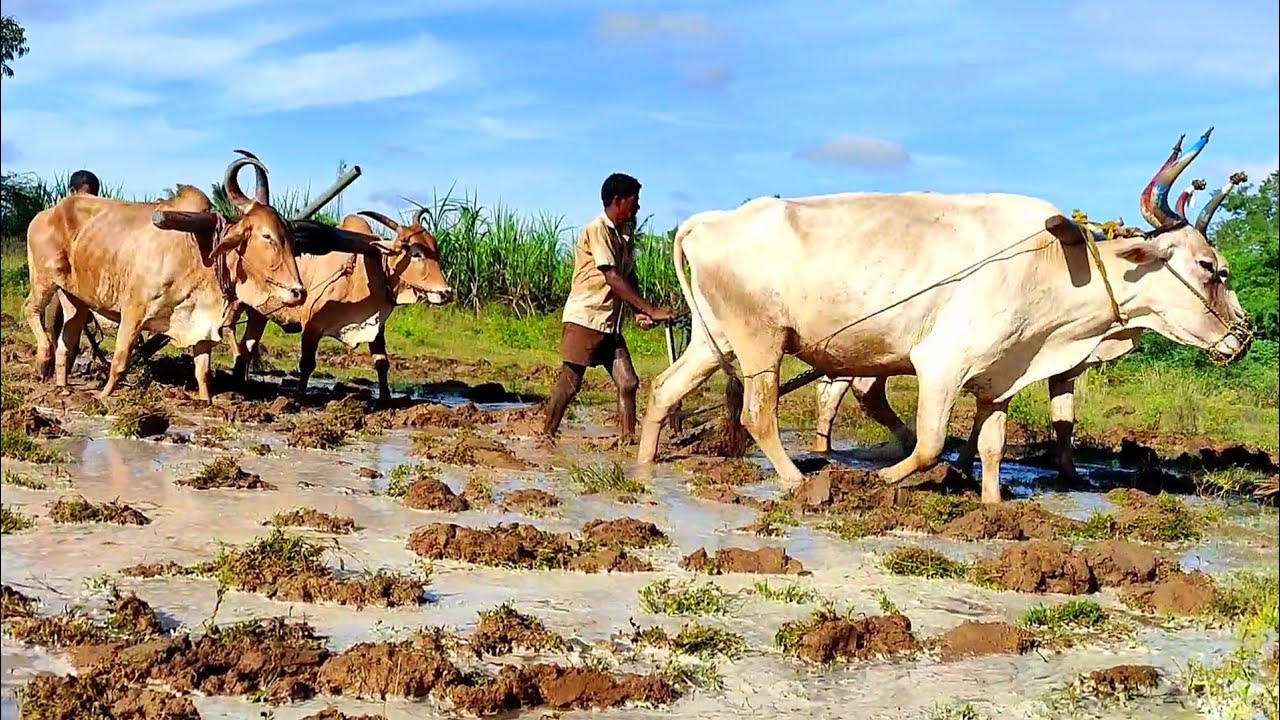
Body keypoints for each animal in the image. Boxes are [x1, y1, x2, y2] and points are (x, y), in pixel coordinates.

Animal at [21, 153, 366, 402]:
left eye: (293, 240)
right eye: (266, 236)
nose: (298, 292)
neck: (198, 251)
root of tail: (46, 213)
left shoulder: (201, 322)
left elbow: (203, 373)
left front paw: (206, 403)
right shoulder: (133, 311)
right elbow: (120, 361)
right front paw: (104, 397)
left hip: (74, 297)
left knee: (68, 340)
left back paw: (62, 386)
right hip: (44, 279)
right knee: (33, 312)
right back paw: (42, 357)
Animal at [226, 200, 455, 401]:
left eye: (436, 250)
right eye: (415, 254)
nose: (447, 292)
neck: (367, 266)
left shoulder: (375, 326)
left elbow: (382, 363)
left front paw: (386, 399)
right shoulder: (311, 327)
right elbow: (307, 364)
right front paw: (299, 396)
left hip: (259, 314)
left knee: (248, 345)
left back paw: (241, 382)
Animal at [809, 170, 1249, 480]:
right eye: (1211, 267)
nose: (1243, 335)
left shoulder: (1035, 366)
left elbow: (1048, 420)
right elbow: (1054, 420)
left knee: (843, 391)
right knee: (848, 392)